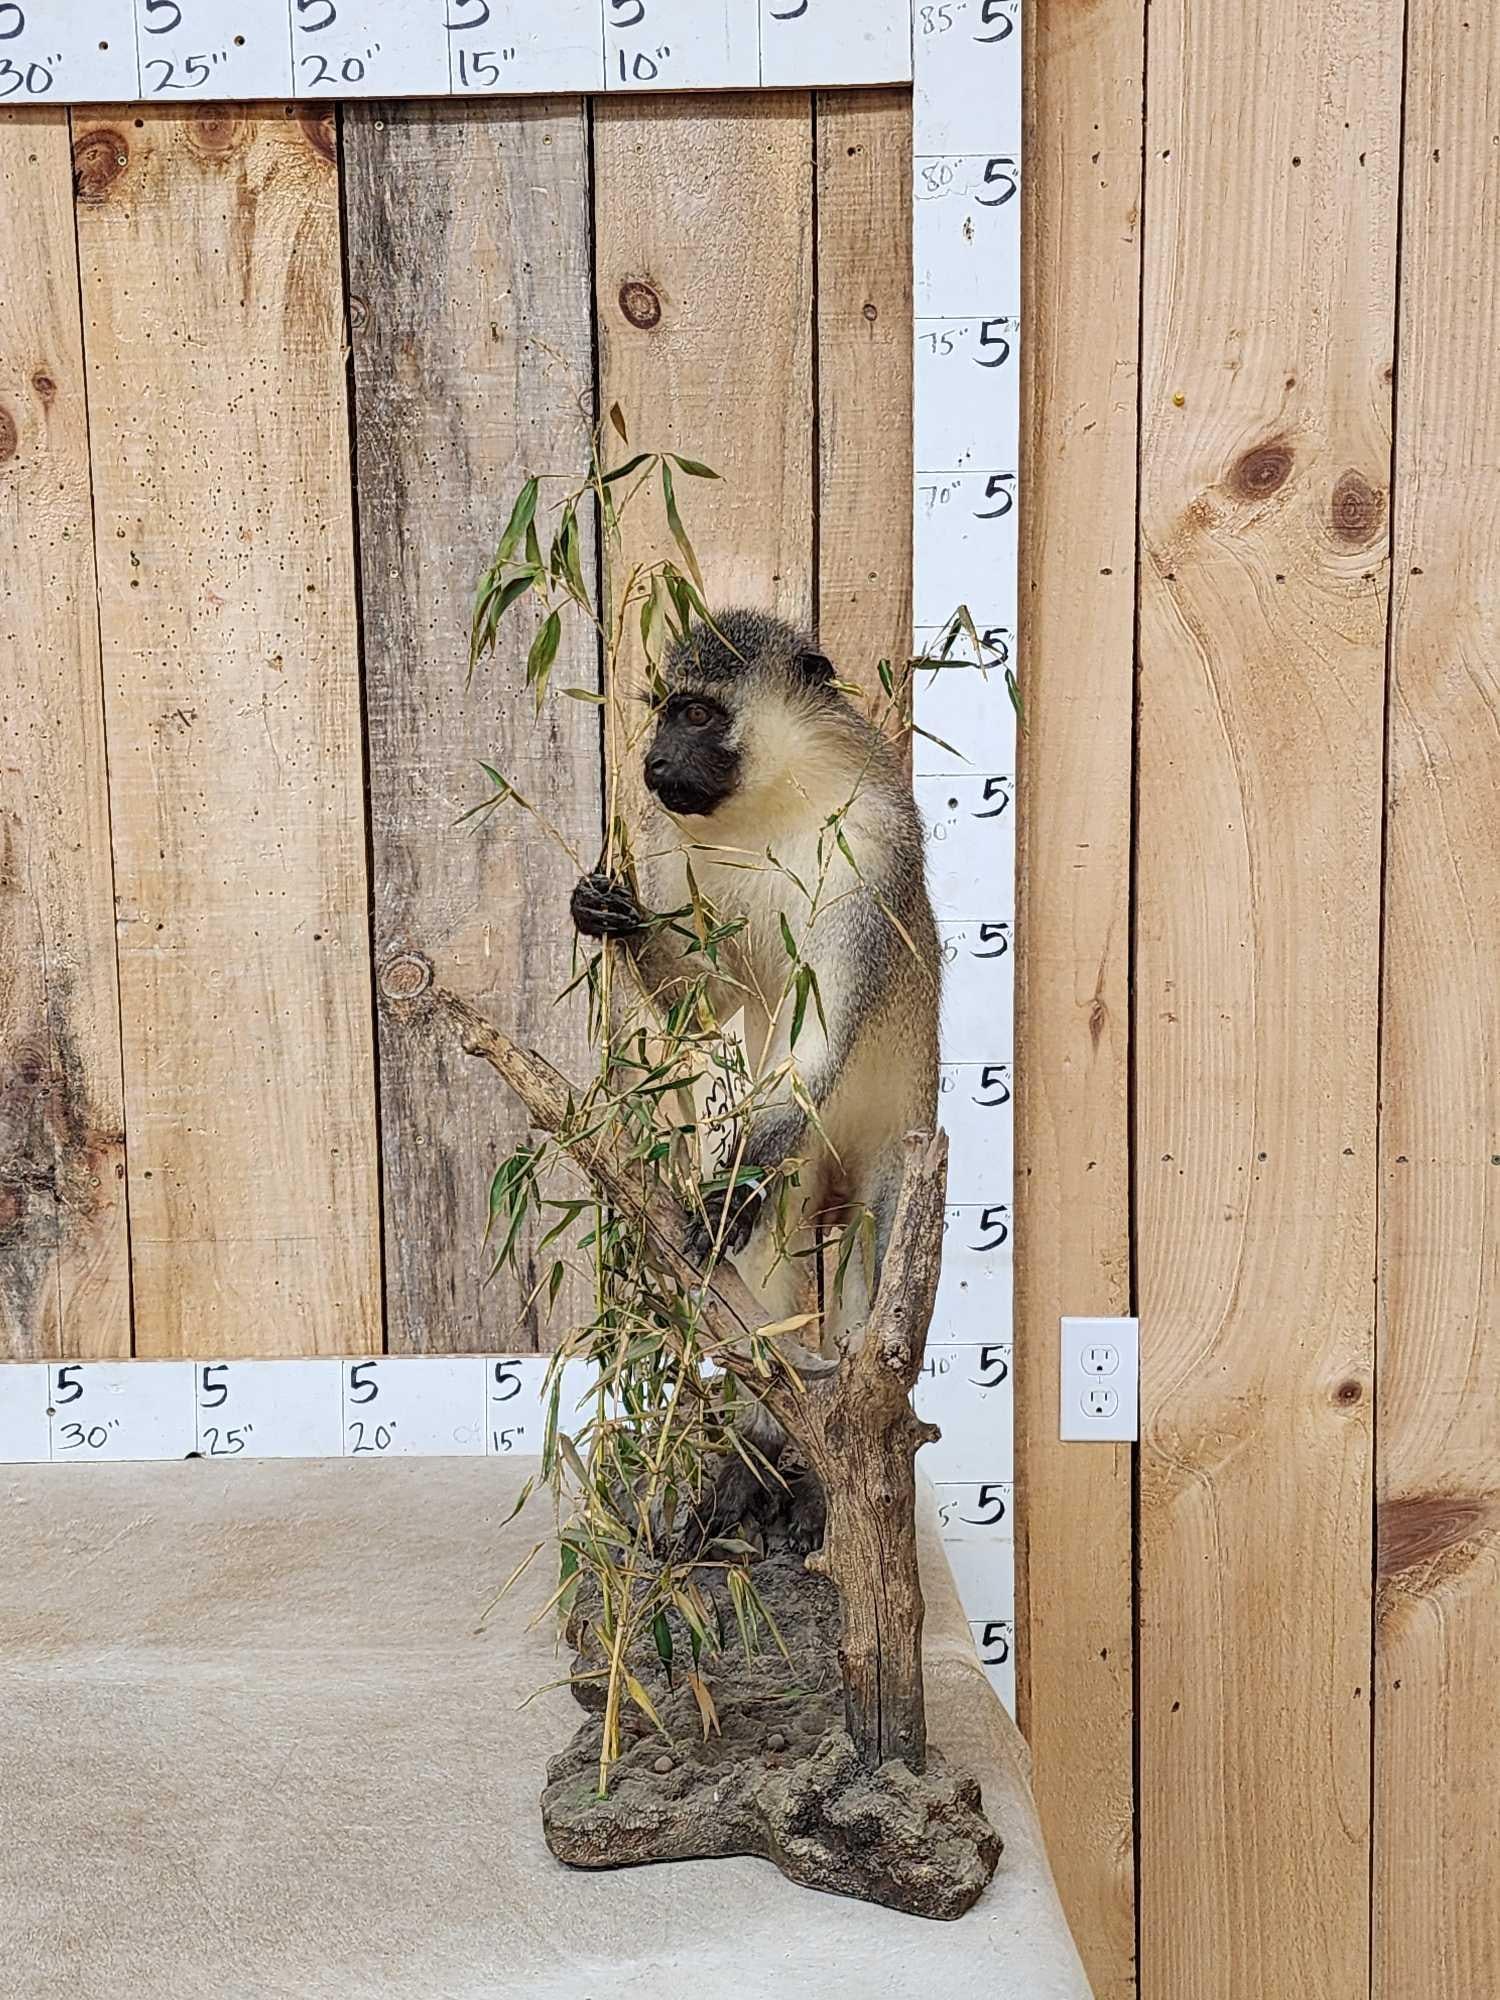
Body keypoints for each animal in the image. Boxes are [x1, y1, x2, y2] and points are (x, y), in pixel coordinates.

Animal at [570, 608, 940, 1363]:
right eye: (663, 712)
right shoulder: (667, 845)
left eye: (697, 714)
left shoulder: (869, 847)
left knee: (877, 1242)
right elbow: (700, 1007)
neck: (771, 803)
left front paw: (729, 1197)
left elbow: (817, 1038)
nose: (653, 764)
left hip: (896, 1152)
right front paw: (607, 912)